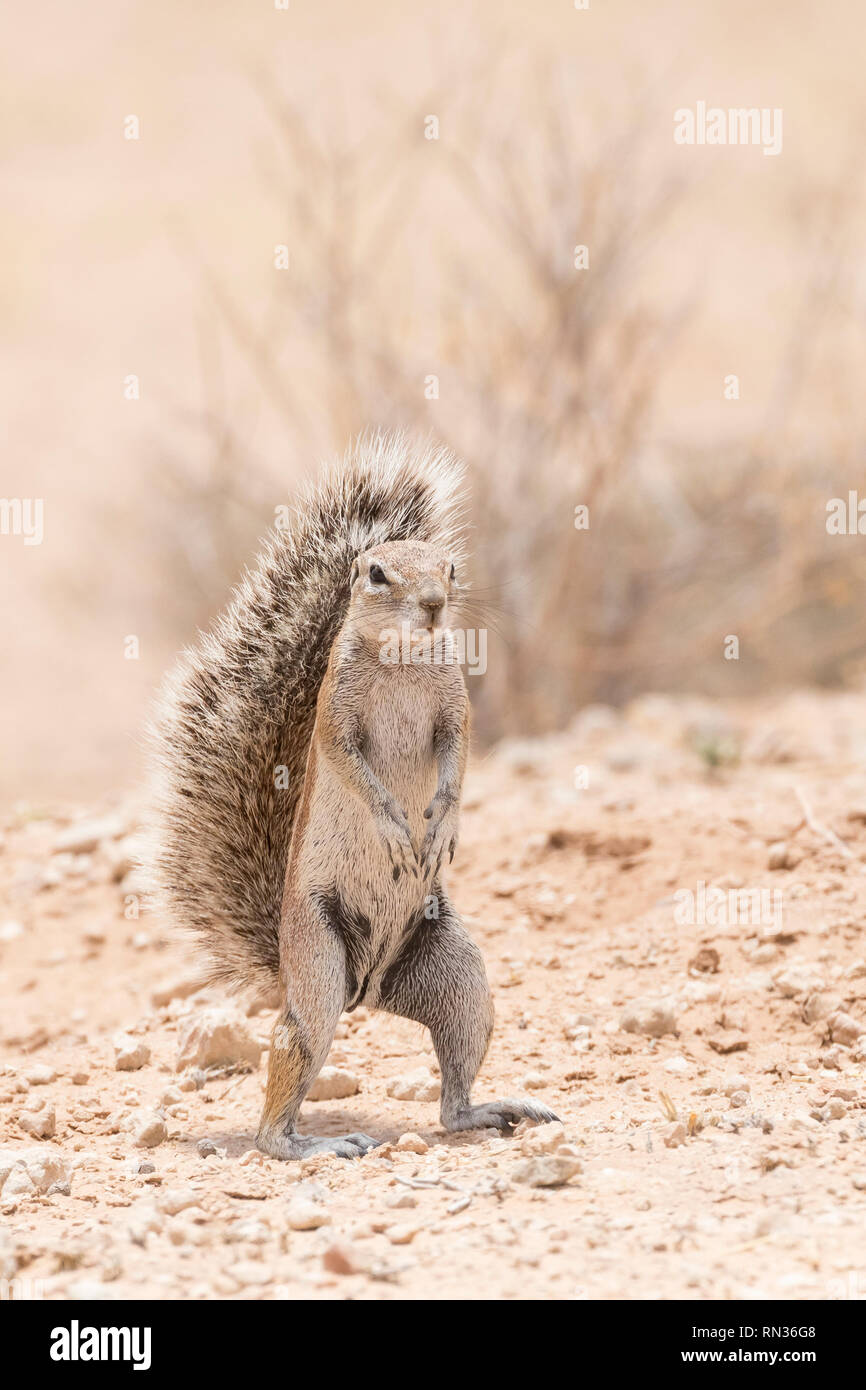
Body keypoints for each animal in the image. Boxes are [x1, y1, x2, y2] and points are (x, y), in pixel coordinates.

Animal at [148, 431, 558, 1159]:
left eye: (451, 567)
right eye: (376, 574)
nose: (434, 604)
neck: (402, 656)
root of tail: (363, 989)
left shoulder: (455, 710)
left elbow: (457, 760)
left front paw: (442, 824)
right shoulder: (337, 720)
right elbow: (355, 768)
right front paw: (396, 828)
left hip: (460, 981)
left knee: (452, 1094)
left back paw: (490, 1109)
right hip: (317, 967)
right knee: (282, 1092)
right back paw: (307, 1145)